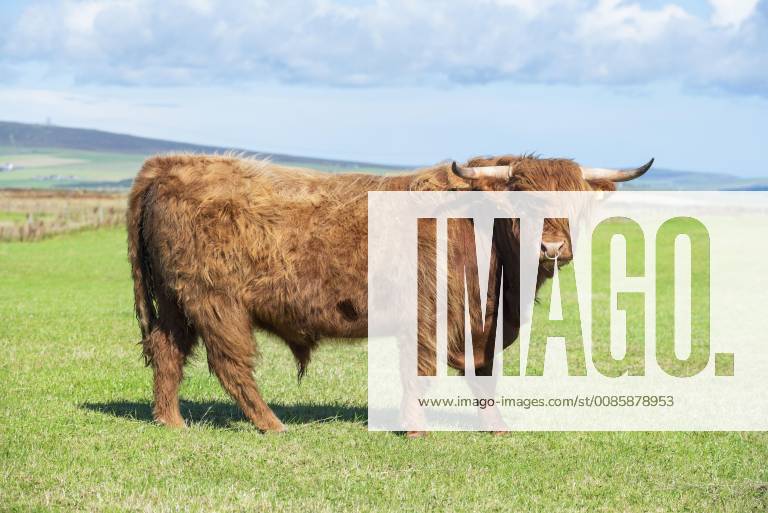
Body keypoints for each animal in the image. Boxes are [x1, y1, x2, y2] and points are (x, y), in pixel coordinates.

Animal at [127, 154, 652, 432]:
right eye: (523, 200)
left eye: (576, 202)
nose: (552, 248)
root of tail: (168, 164)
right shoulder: (428, 315)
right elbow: (419, 370)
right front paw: (415, 428)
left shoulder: (481, 325)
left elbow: (484, 377)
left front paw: (496, 427)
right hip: (214, 302)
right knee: (230, 363)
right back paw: (271, 424)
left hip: (174, 303)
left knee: (168, 353)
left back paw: (170, 421)